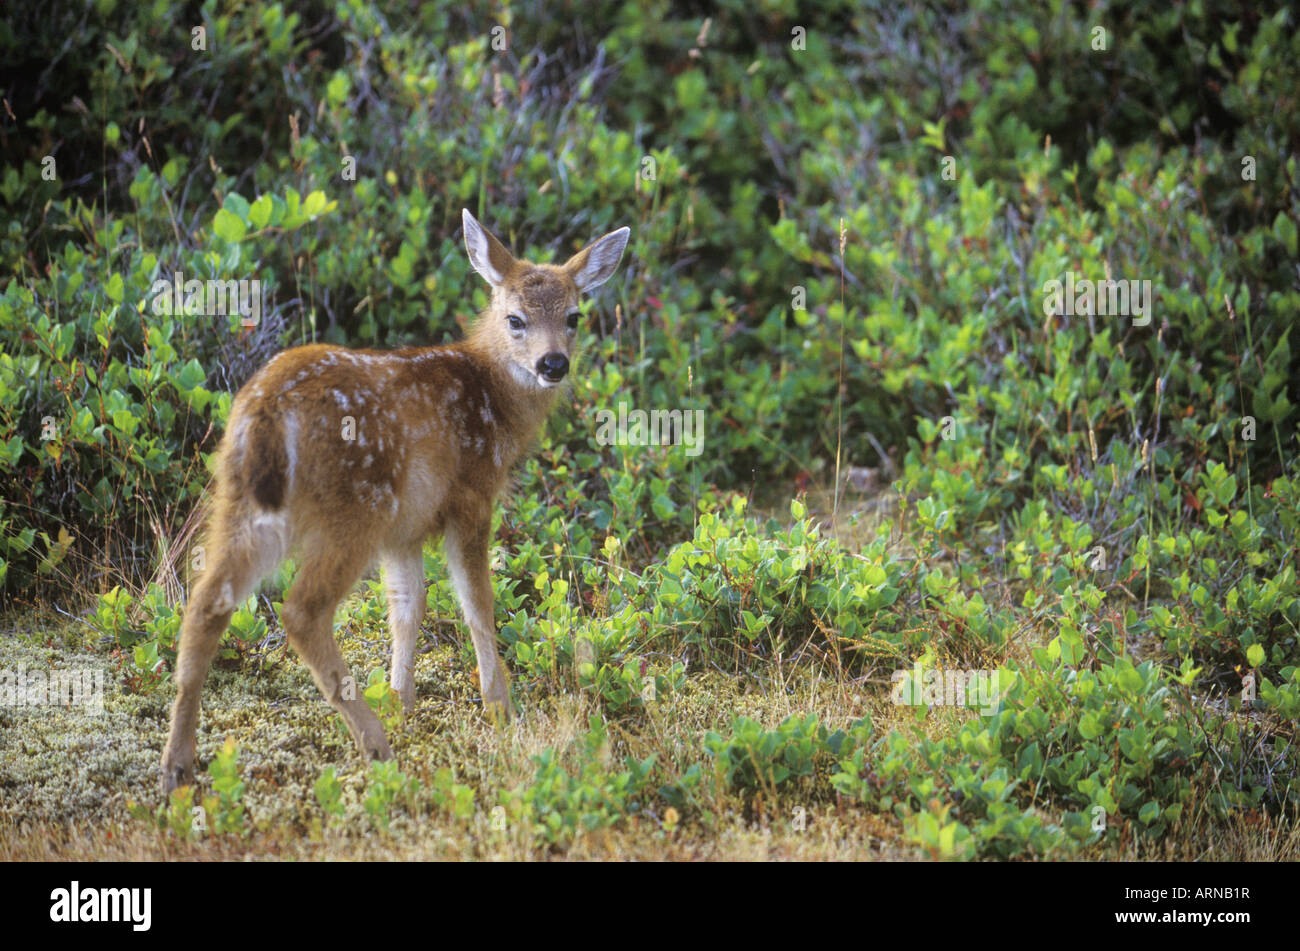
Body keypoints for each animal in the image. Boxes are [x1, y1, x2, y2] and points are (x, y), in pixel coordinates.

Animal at [160, 209, 630, 794]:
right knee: (300, 610)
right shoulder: (469, 497)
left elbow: (408, 607)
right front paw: (500, 707)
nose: (553, 363)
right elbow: (477, 603)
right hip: (357, 505)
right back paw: (375, 744)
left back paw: (177, 765)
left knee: (205, 603)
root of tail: (266, 410)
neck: (493, 398)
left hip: (241, 501)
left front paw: (403, 701)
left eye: (574, 316)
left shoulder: (404, 530)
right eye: (516, 319)